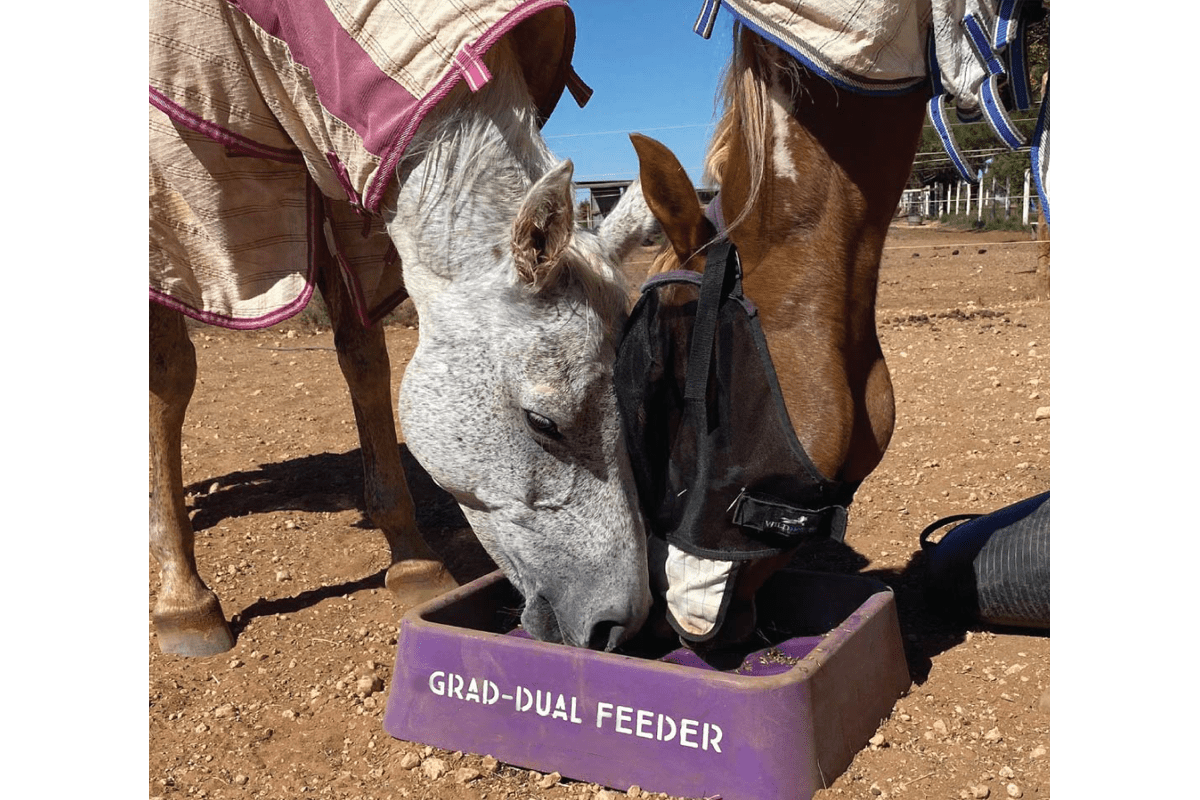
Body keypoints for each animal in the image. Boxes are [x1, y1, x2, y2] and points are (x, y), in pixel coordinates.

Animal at [150, 1, 656, 656]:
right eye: (543, 423)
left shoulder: (337, 190)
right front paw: (183, 600)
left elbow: (364, 361)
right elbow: (169, 381)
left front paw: (412, 561)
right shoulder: (170, 200)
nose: (617, 627)